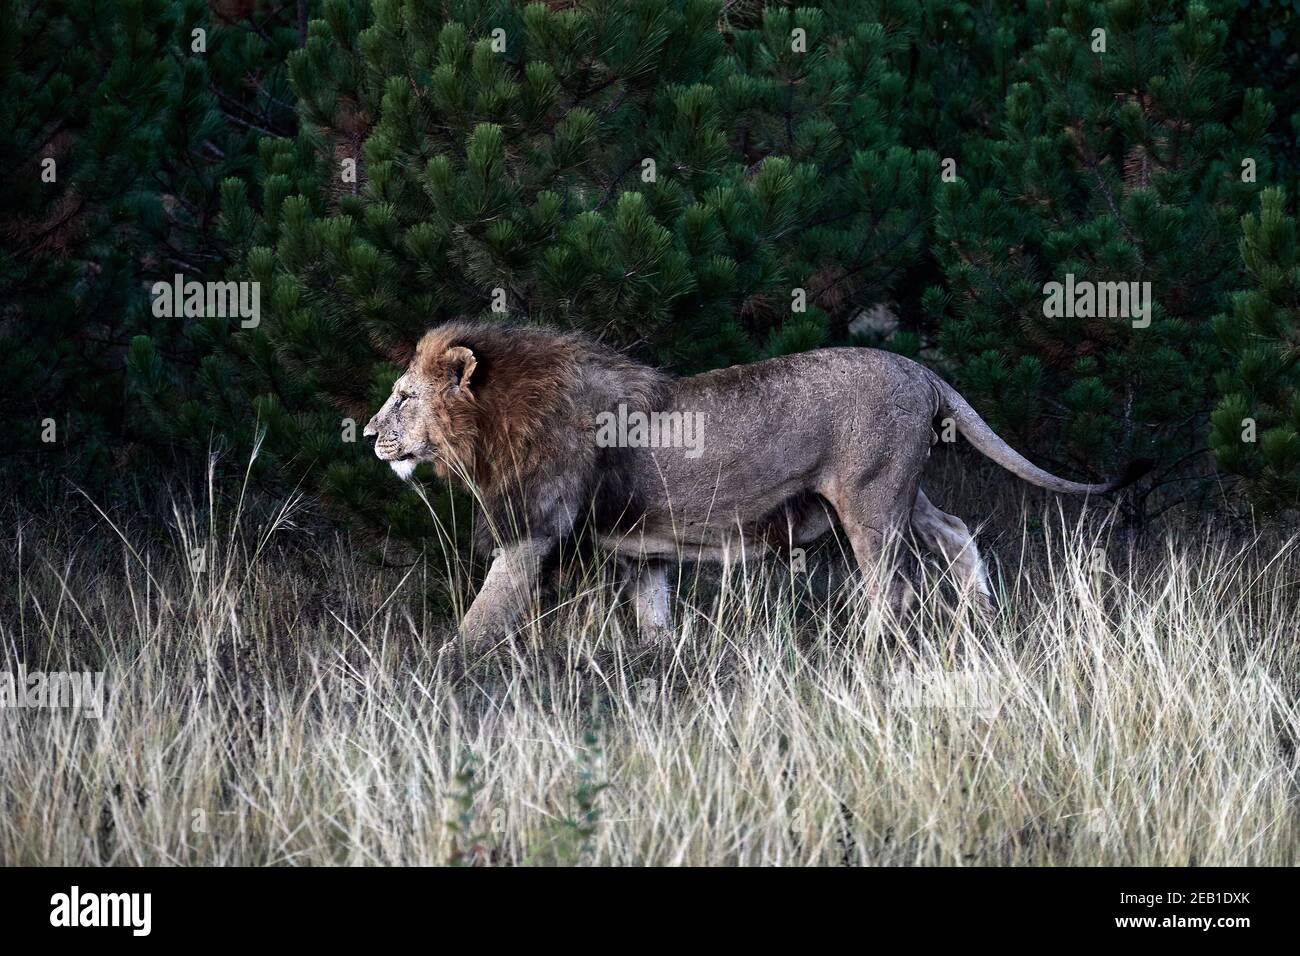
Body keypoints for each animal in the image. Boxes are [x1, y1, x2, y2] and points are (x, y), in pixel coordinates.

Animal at [364, 321, 1144, 644]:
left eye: (403, 397)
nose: (369, 434)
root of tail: (921, 369)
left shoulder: (531, 530)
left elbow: (482, 616)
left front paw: (444, 673)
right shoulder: (645, 549)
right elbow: (652, 617)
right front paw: (657, 665)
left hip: (868, 498)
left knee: (890, 586)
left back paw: (865, 654)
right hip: (902, 491)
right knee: (955, 533)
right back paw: (982, 615)